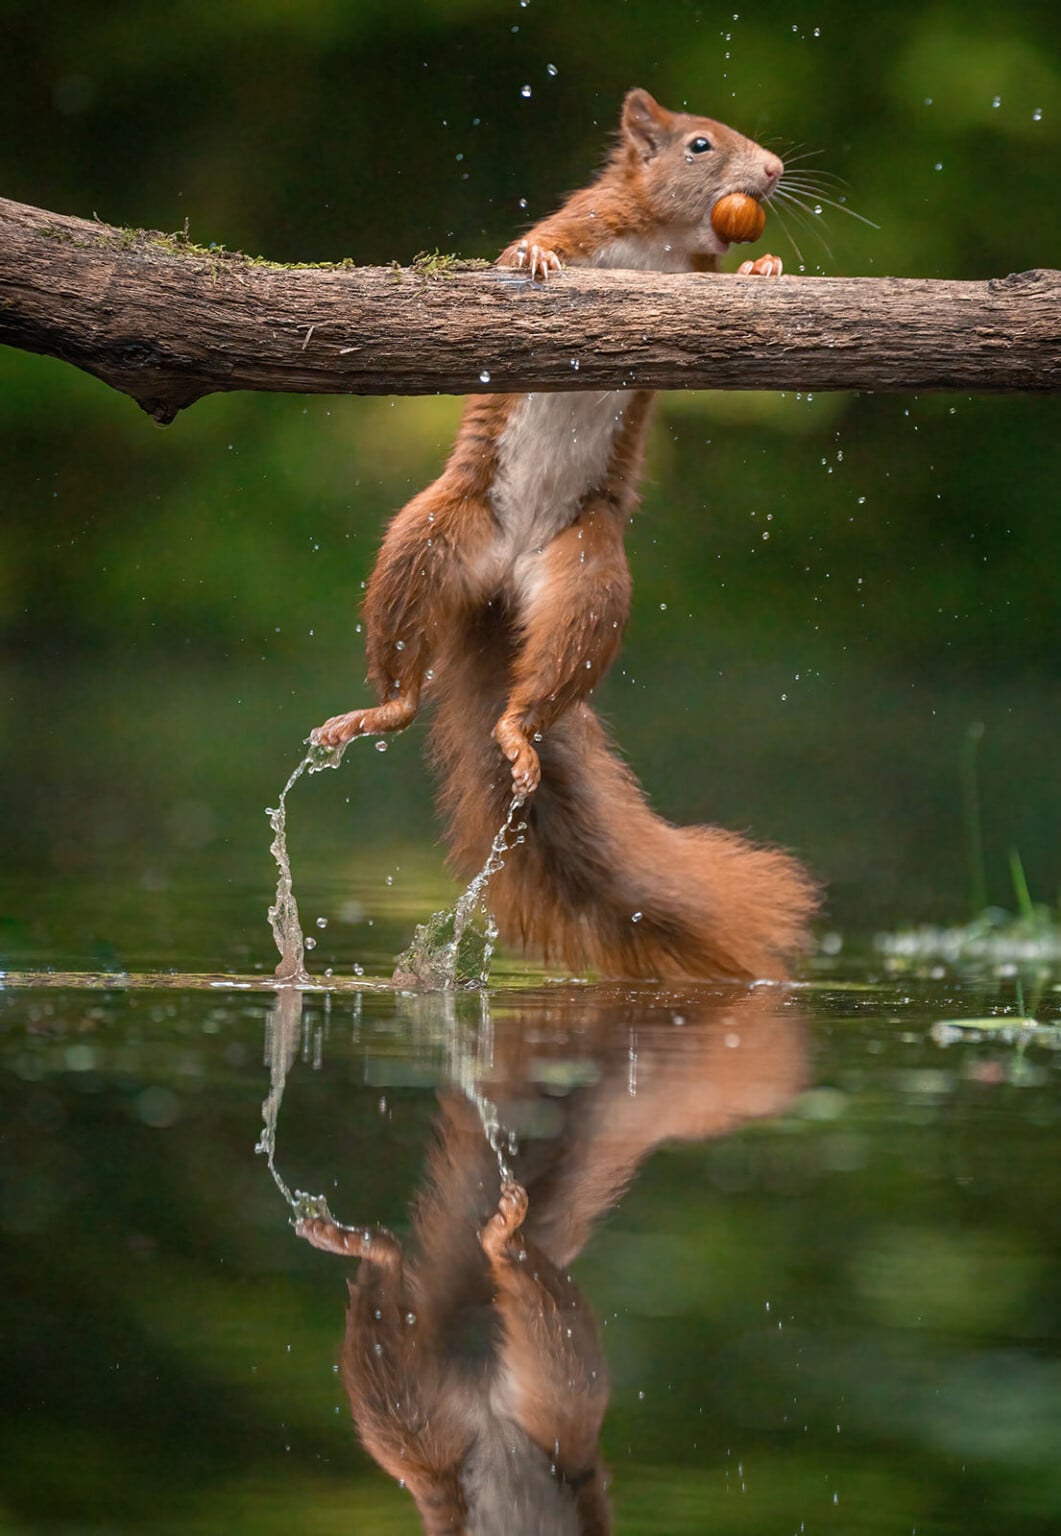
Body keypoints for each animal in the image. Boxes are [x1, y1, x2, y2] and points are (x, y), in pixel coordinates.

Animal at [312, 88, 818, 982]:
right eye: (698, 145)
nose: (772, 170)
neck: (658, 239)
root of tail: (503, 582)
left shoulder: (694, 279)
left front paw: (763, 272)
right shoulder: (588, 218)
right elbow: (531, 244)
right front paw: (535, 259)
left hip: (587, 579)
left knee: (546, 679)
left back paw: (515, 729)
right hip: (431, 537)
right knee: (405, 677)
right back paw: (382, 709)